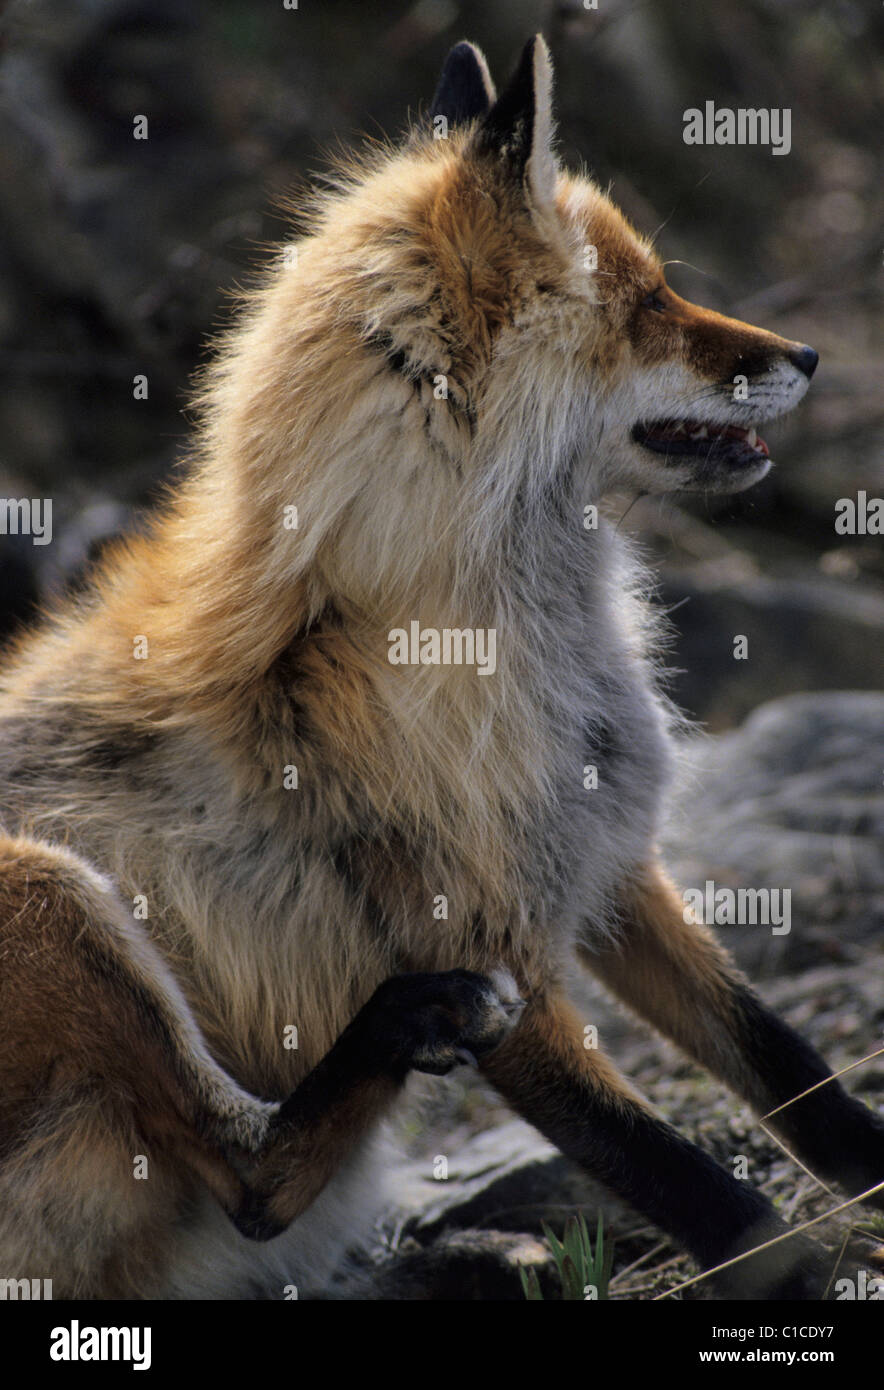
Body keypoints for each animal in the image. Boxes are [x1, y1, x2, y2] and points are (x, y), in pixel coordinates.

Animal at [0, 34, 881, 1302]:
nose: (808, 353)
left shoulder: (607, 863)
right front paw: (799, 1266)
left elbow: (789, 1068)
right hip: (50, 888)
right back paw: (410, 1027)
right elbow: (695, 1186)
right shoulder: (486, 937)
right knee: (254, 1176)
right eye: (646, 304)